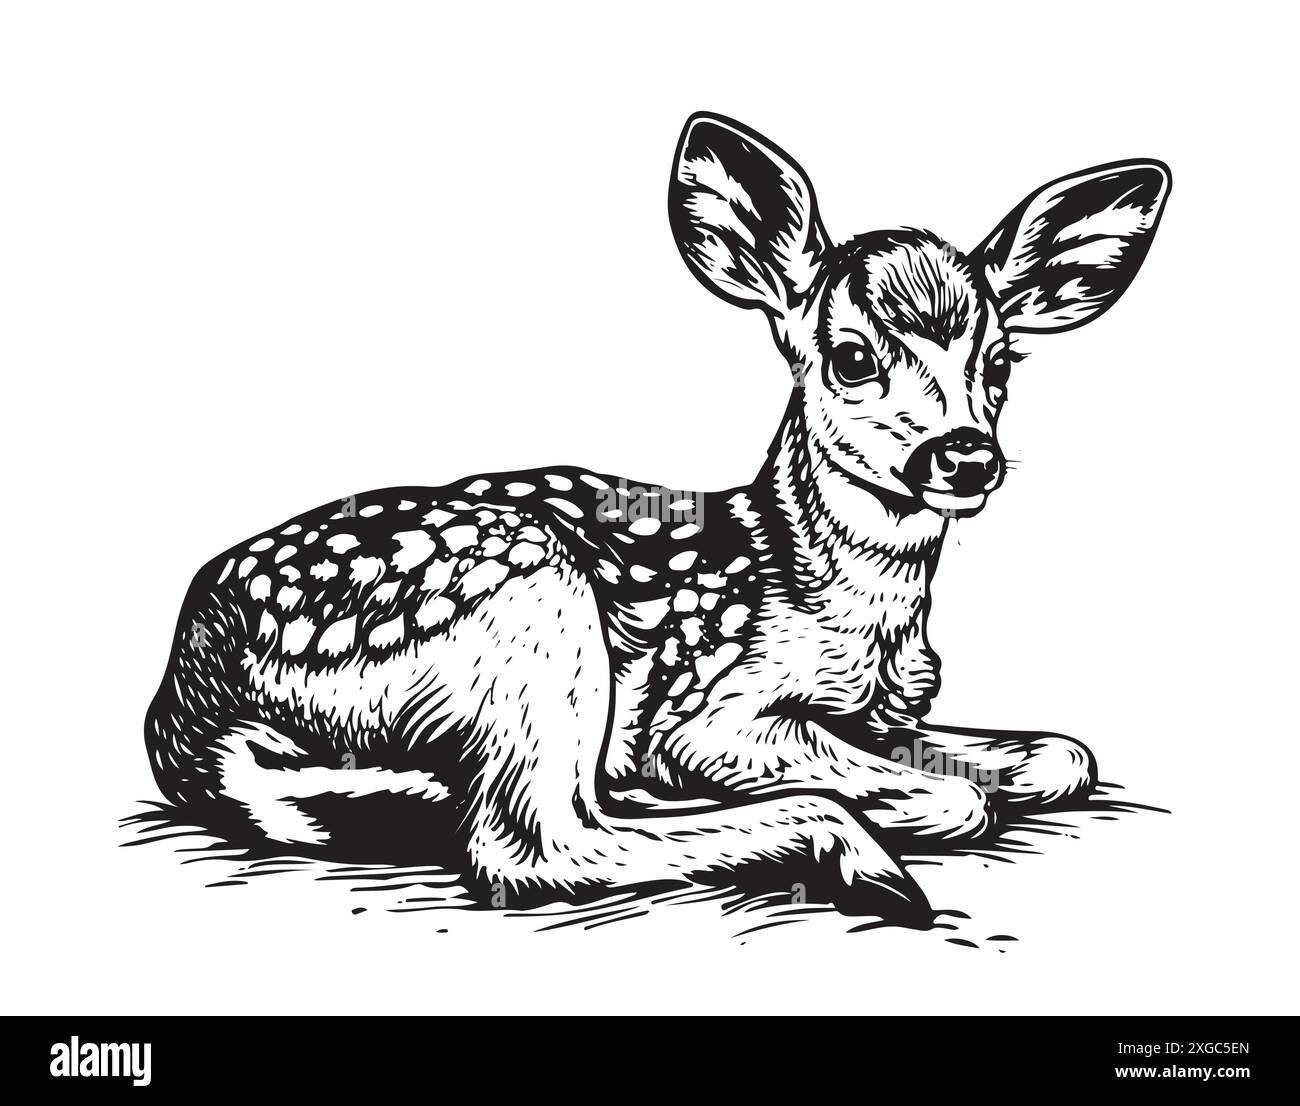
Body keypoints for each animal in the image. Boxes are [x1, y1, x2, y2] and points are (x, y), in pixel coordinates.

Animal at [145, 112, 1169, 922]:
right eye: (851, 357)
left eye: (1000, 366)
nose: (965, 454)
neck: (826, 589)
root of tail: (187, 688)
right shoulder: (711, 708)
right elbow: (958, 799)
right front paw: (896, 809)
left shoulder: (884, 714)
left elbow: (1060, 755)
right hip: (530, 608)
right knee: (530, 846)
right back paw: (849, 852)